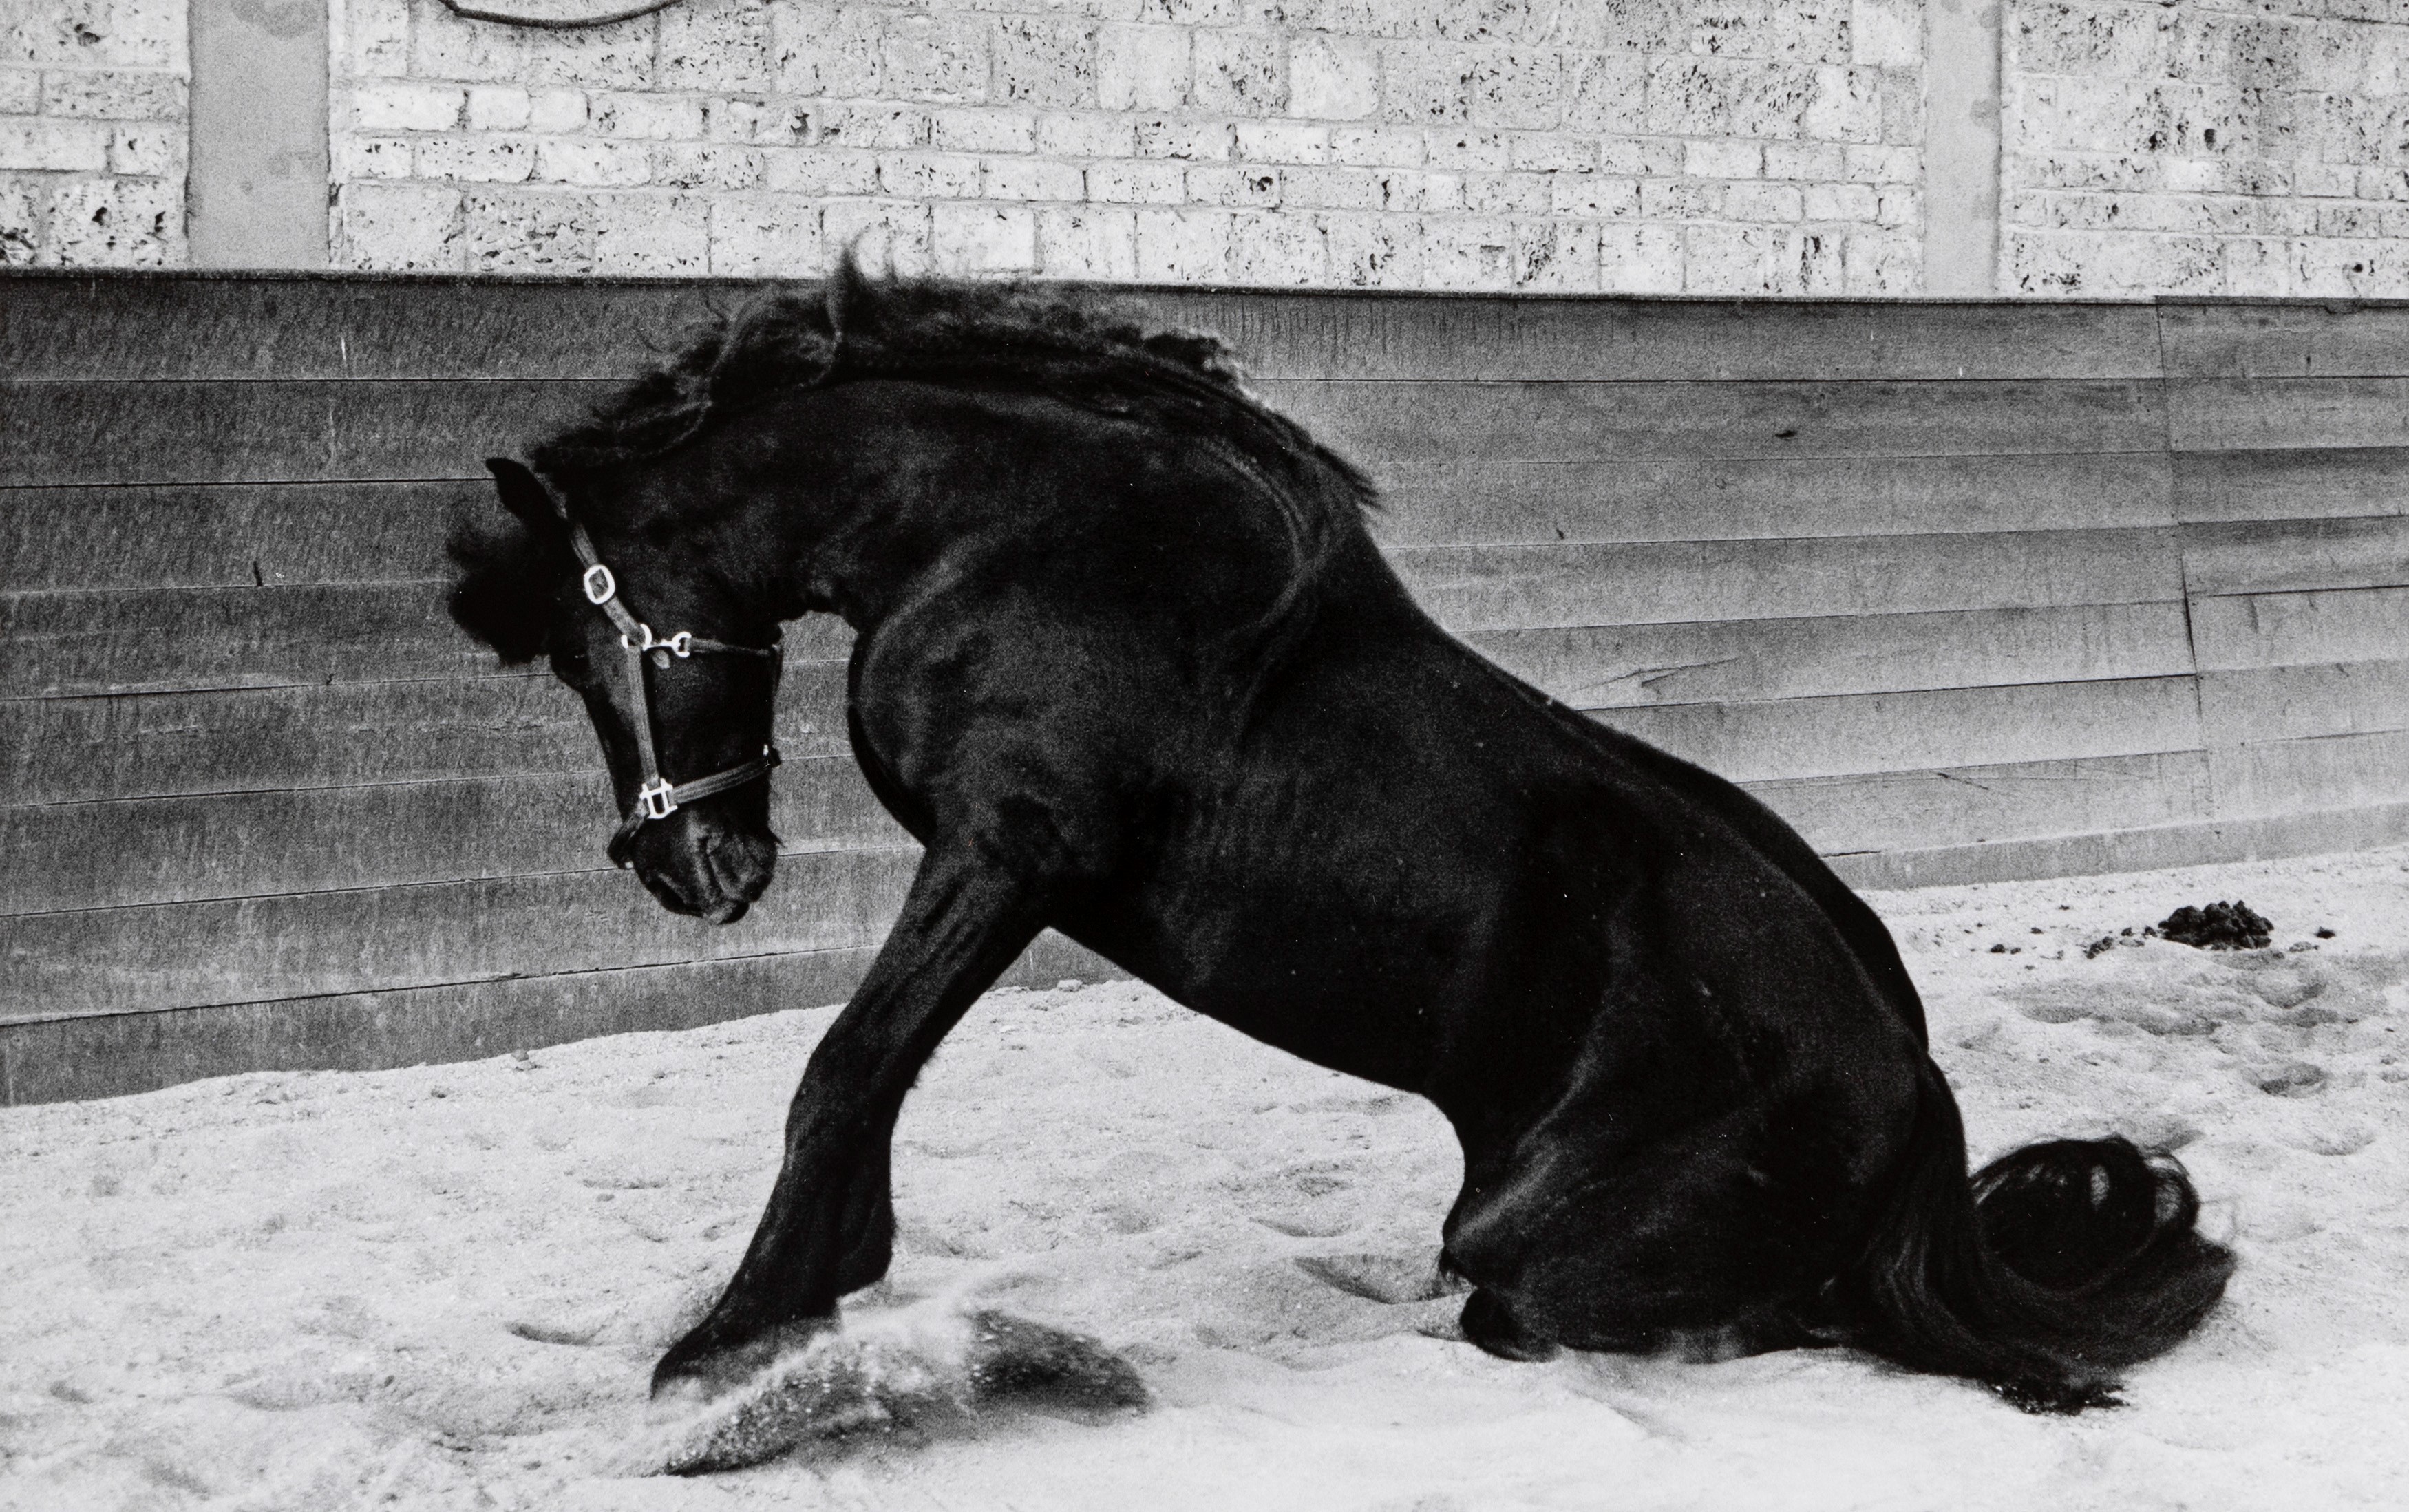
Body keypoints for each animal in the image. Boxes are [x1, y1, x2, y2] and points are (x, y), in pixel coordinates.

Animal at [448, 265, 2234, 1416]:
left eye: (583, 646)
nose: (692, 869)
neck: (1010, 539)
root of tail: (1917, 1098)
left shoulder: (1008, 850)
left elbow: (847, 1059)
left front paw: (732, 1337)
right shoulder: (997, 865)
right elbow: (873, 1069)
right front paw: (814, 1292)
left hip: (1533, 1252)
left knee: (1703, 1318)